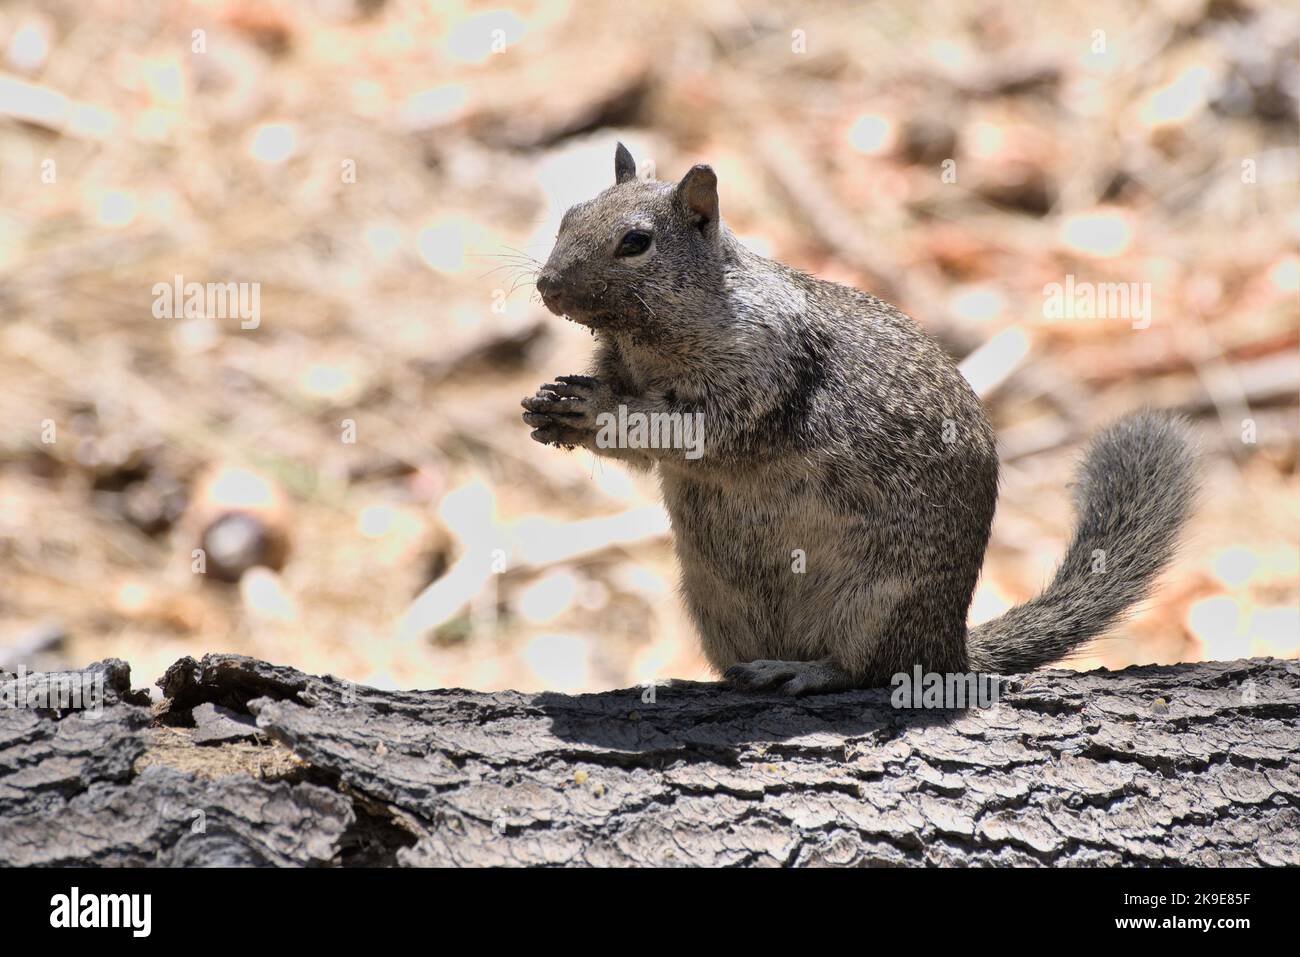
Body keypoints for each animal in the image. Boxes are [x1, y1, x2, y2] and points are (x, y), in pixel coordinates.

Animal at [521, 142, 1198, 695]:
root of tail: (947, 647)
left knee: (869, 668)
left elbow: (692, 430)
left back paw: (803, 671)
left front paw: (591, 409)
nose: (548, 286)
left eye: (636, 243)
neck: (649, 343)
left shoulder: (762, 373)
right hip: (717, 609)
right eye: (569, 214)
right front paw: (555, 410)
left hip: (876, 604)